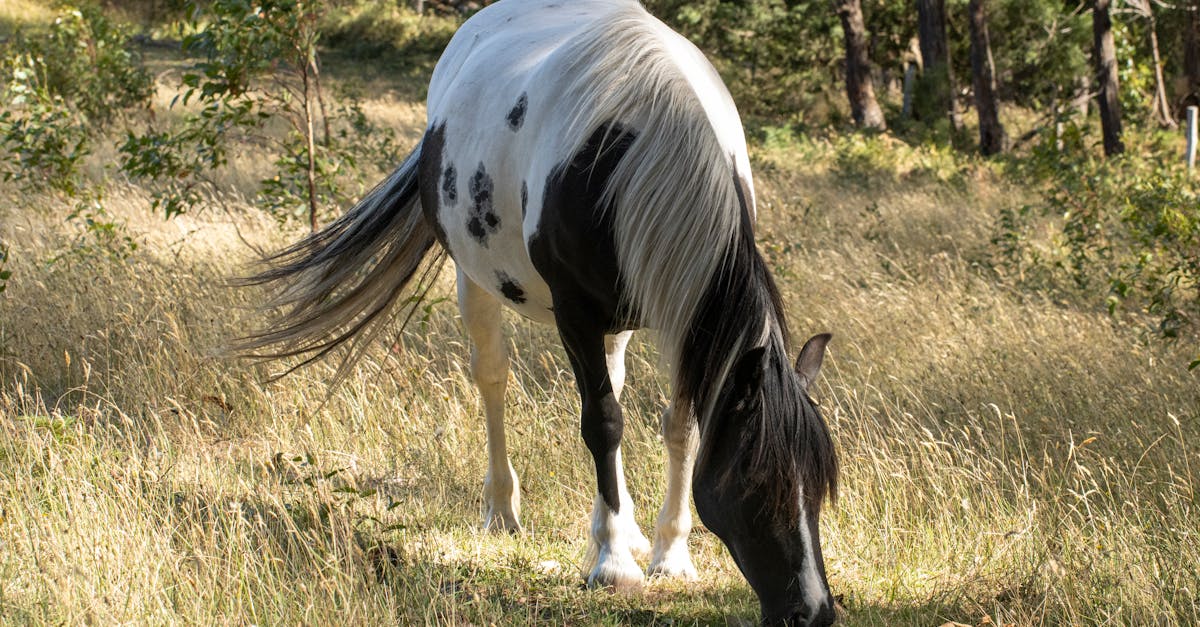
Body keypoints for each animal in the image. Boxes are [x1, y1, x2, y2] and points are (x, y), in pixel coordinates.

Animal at [240, 2, 840, 619]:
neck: (635, 151)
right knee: (494, 379)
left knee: (613, 382)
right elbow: (602, 424)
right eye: (756, 484)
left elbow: (681, 427)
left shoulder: (684, 318)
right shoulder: (575, 315)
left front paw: (669, 555)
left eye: (821, 486)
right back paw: (505, 510)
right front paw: (613, 565)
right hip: (475, 280)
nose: (813, 611)